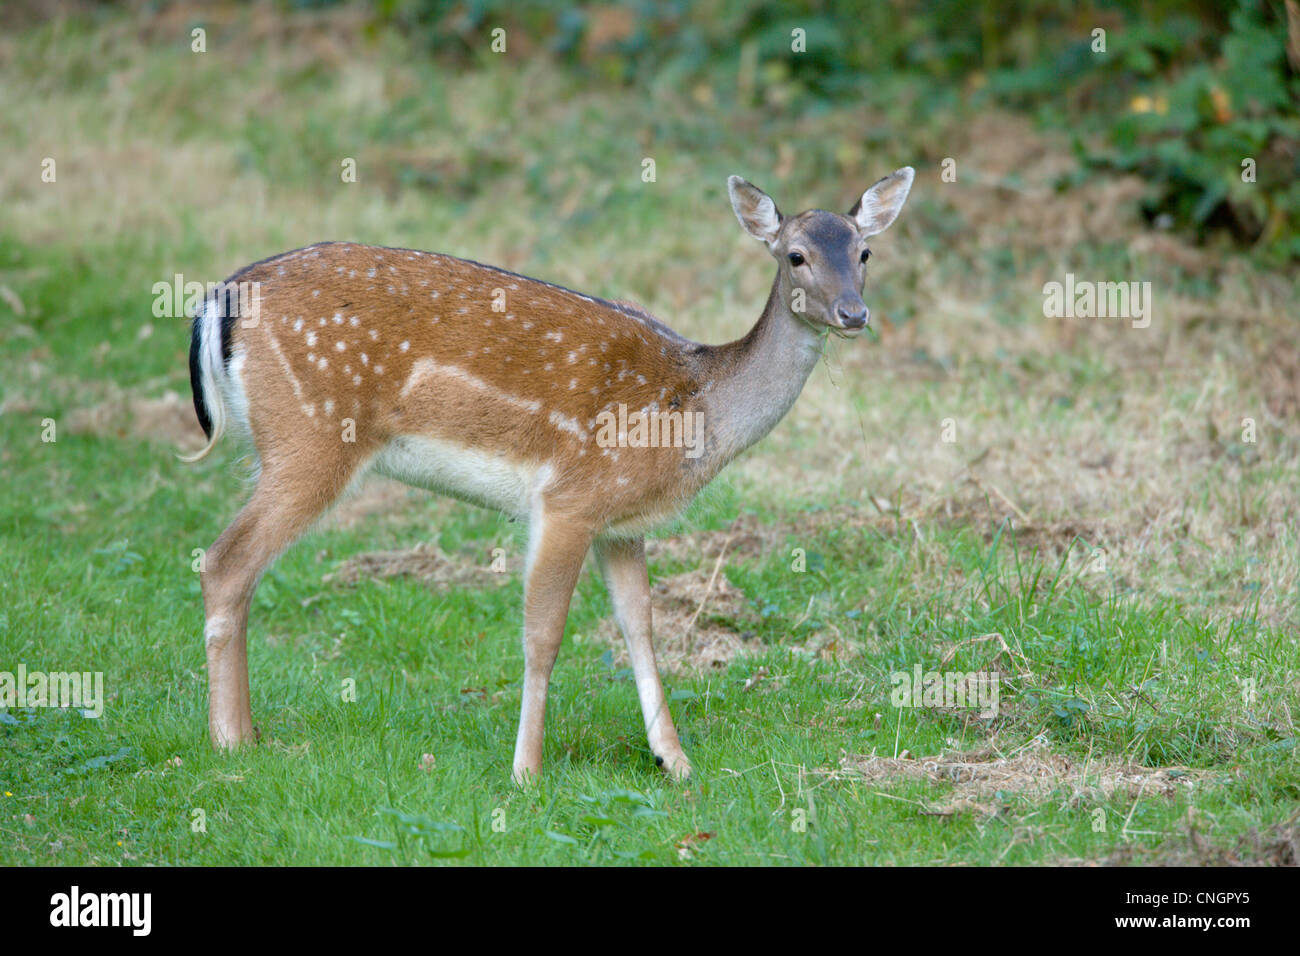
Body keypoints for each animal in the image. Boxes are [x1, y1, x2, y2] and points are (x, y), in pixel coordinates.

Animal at [186, 167, 914, 784]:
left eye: (865, 253)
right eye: (795, 255)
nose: (854, 314)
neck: (695, 408)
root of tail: (222, 297)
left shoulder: (622, 522)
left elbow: (640, 627)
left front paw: (675, 761)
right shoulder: (570, 499)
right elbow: (543, 636)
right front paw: (527, 773)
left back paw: (242, 733)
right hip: (310, 437)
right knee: (225, 560)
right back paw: (230, 742)